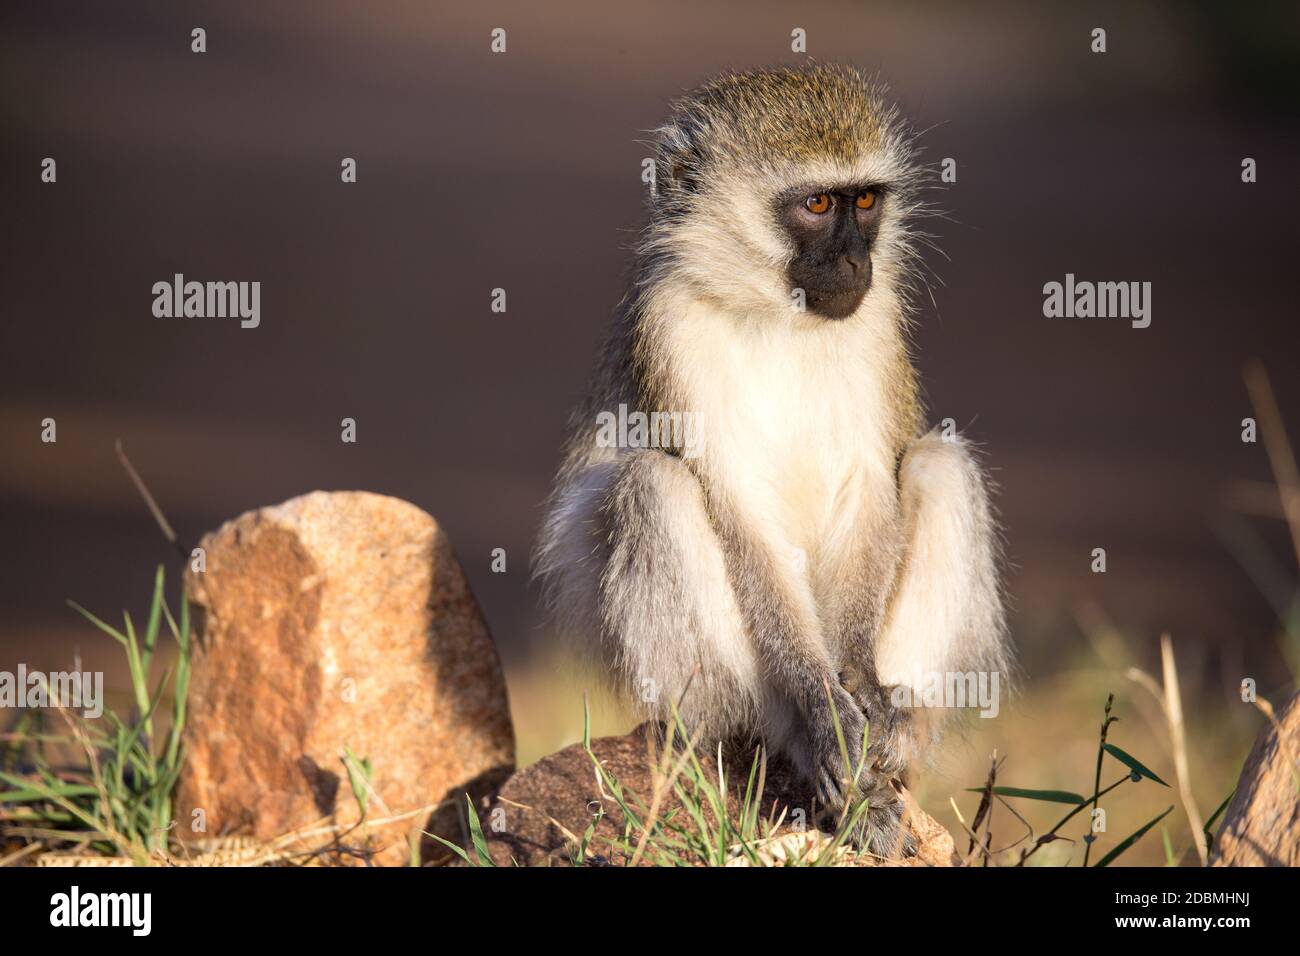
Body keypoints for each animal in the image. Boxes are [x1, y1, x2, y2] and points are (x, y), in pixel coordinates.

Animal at [534, 64, 1009, 857]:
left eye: (866, 201)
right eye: (817, 204)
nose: (855, 260)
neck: (776, 313)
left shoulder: (876, 317)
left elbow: (869, 487)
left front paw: (864, 690)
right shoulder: (669, 323)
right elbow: (734, 508)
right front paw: (825, 710)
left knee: (941, 464)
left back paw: (895, 743)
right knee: (653, 483)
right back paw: (799, 752)